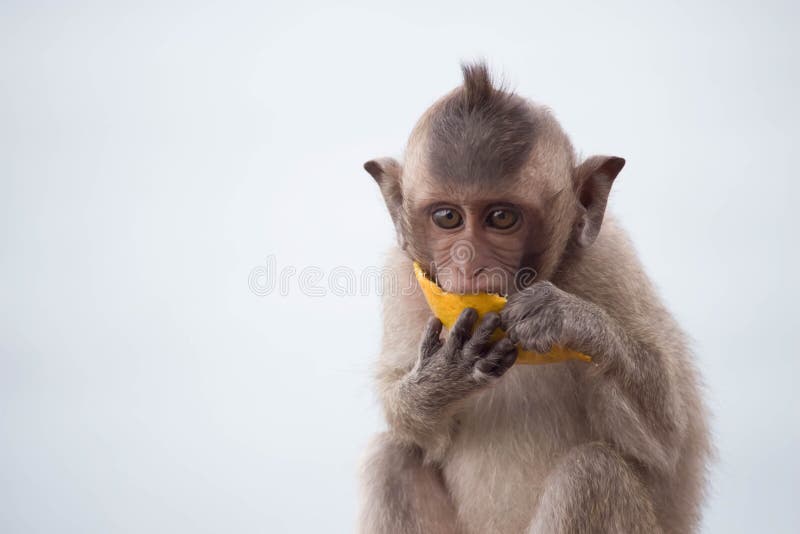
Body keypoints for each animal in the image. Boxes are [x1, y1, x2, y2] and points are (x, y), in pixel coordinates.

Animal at [358, 62, 711, 534]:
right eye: (448, 217)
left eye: (501, 218)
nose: (468, 264)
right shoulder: (401, 279)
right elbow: (411, 425)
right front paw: (440, 381)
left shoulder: (609, 263)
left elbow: (667, 441)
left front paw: (566, 318)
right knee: (393, 457)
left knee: (593, 470)